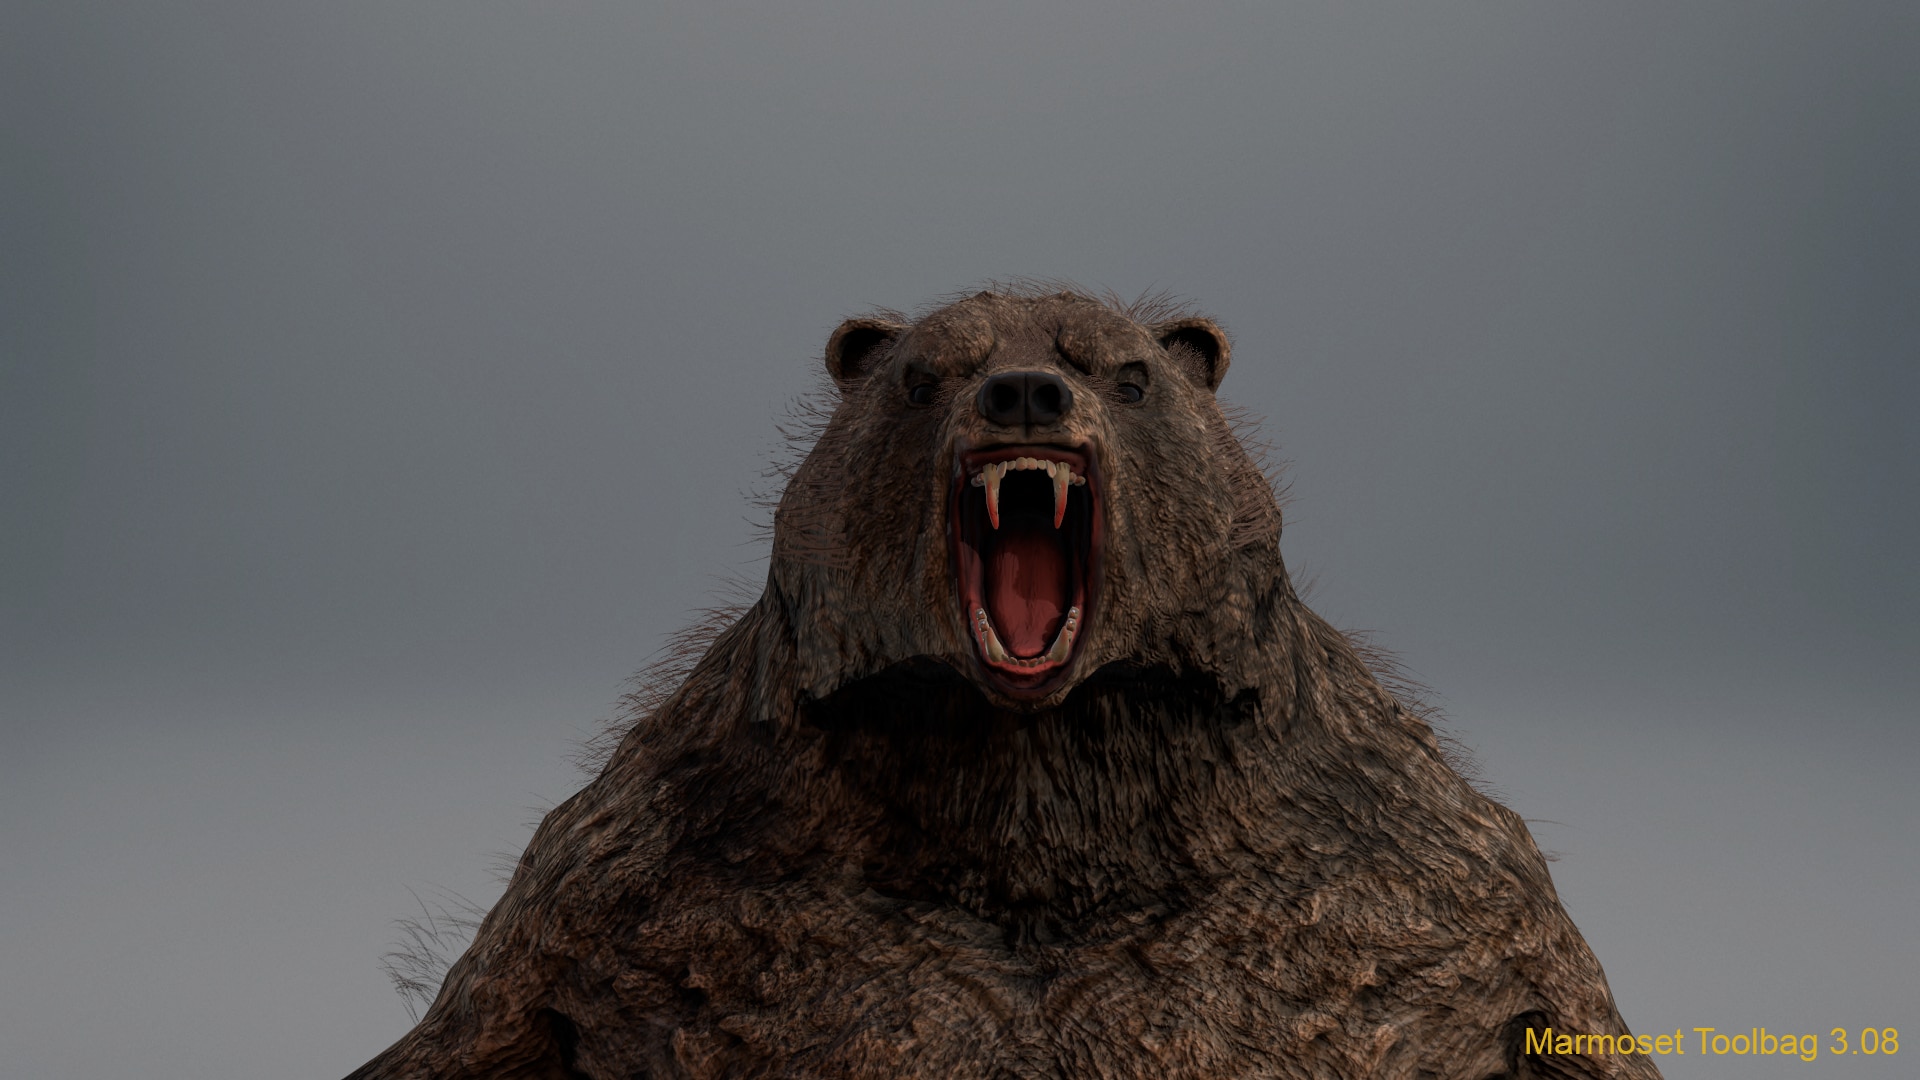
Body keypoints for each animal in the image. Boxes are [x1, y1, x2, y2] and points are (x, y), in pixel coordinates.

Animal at [346, 287, 1660, 1079]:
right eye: (926, 373)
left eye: (1126, 373)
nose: (1024, 390)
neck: (1035, 791)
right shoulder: (635, 869)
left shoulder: (1419, 873)